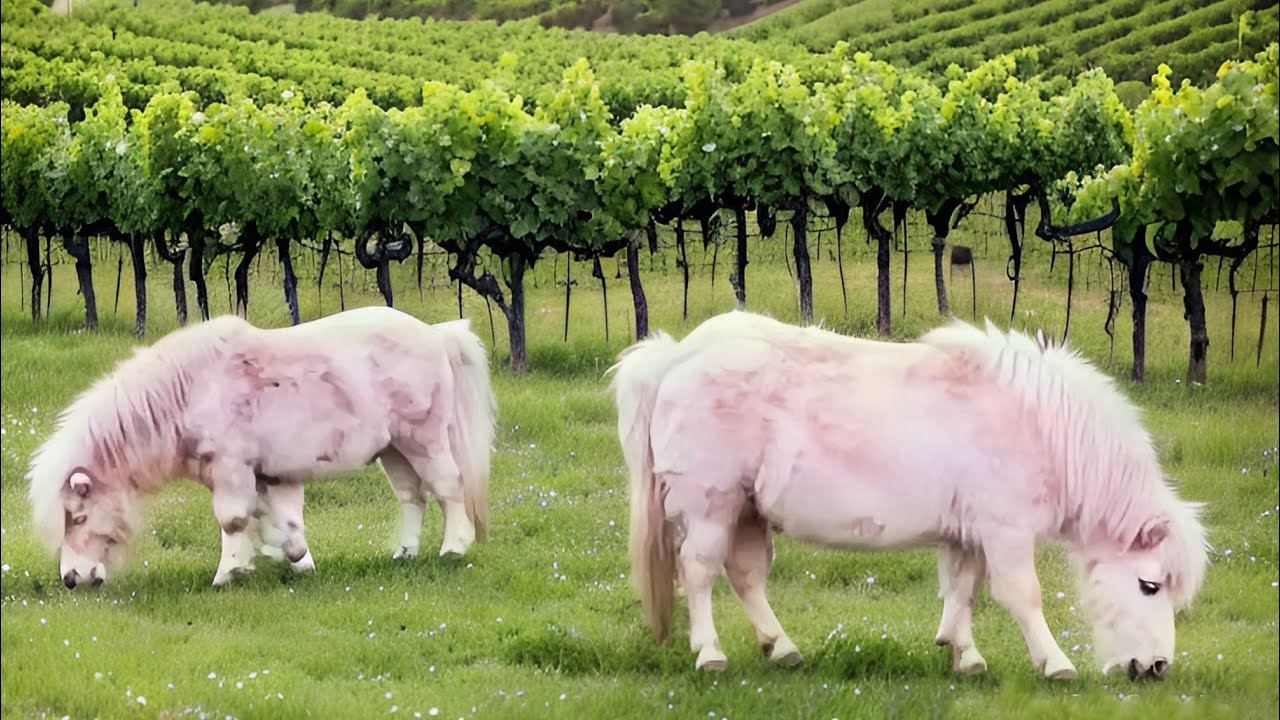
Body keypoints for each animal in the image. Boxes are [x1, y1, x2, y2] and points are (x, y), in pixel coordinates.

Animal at [28, 306, 495, 588]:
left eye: (78, 517)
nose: (70, 578)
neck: (190, 392)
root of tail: (437, 335)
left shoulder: (231, 470)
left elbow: (234, 521)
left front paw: (228, 574)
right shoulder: (272, 475)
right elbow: (284, 521)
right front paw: (294, 557)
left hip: (424, 440)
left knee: (449, 487)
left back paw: (453, 549)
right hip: (394, 450)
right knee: (412, 496)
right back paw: (405, 554)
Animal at [610, 310, 1207, 681]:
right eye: (1150, 586)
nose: (1157, 668)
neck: (1038, 424)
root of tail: (679, 355)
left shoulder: (969, 536)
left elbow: (963, 591)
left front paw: (964, 654)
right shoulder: (1006, 533)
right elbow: (1023, 596)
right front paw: (1055, 663)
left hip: (746, 510)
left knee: (746, 577)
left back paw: (782, 647)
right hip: (711, 507)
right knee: (698, 573)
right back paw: (710, 652)